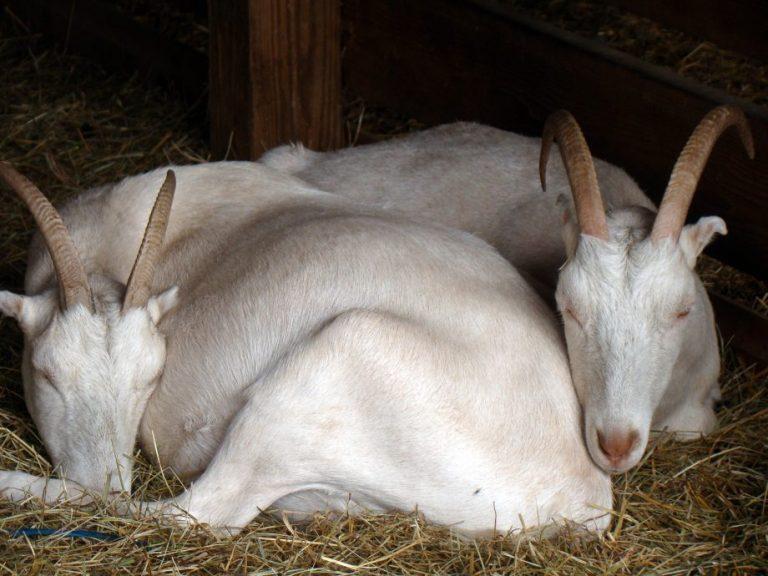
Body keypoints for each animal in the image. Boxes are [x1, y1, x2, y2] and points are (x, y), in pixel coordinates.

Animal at [0, 161, 610, 536]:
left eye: (149, 380)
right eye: (47, 374)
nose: (100, 477)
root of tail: (583, 495)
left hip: (329, 367)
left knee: (192, 514)